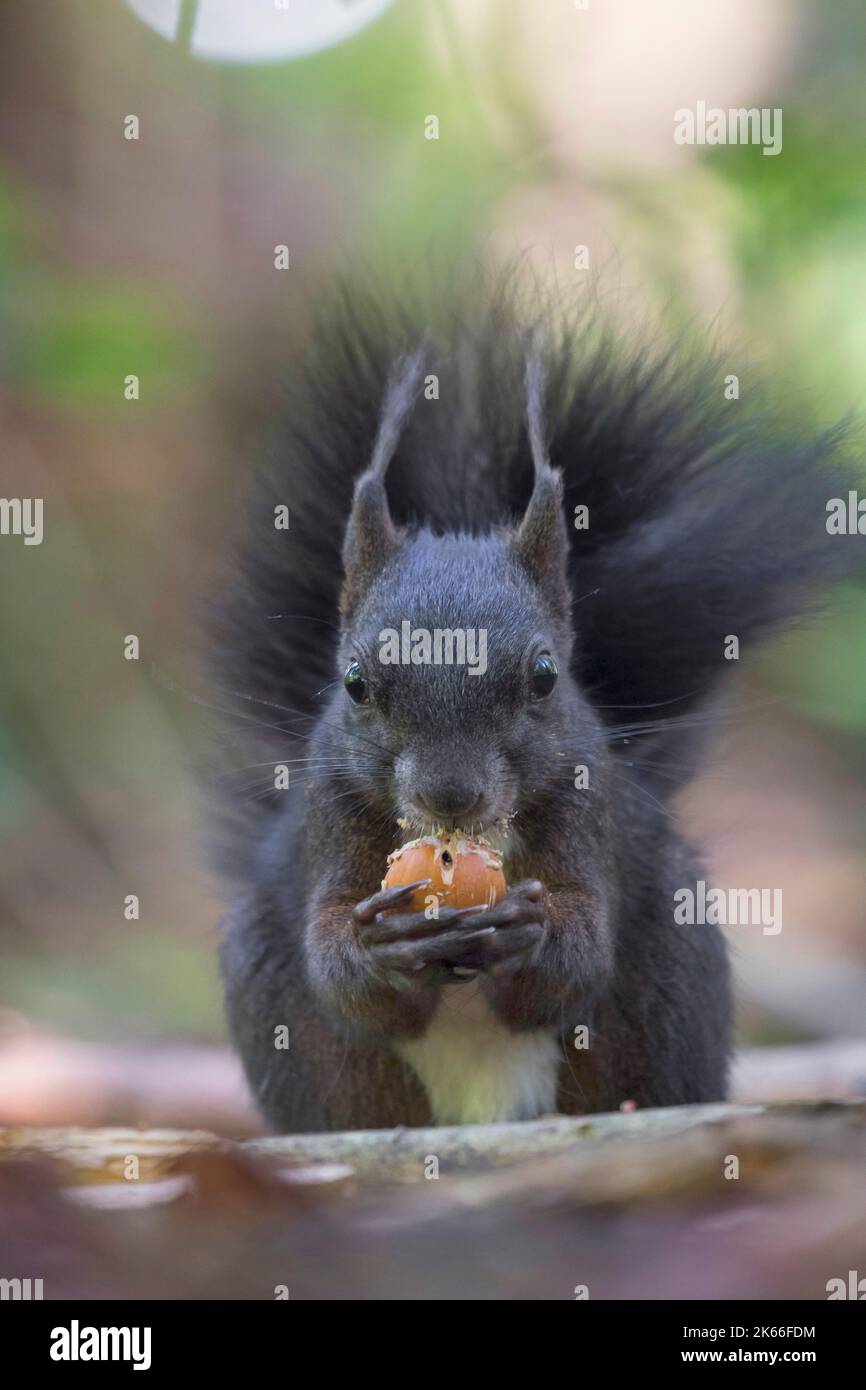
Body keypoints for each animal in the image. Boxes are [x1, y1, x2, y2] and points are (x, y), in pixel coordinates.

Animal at [214, 277, 860, 1133]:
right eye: (353, 681)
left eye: (547, 676)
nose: (449, 795)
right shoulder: (330, 809)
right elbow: (337, 967)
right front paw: (374, 945)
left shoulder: (588, 806)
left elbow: (576, 957)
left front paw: (536, 928)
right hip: (277, 996)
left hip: (670, 969)